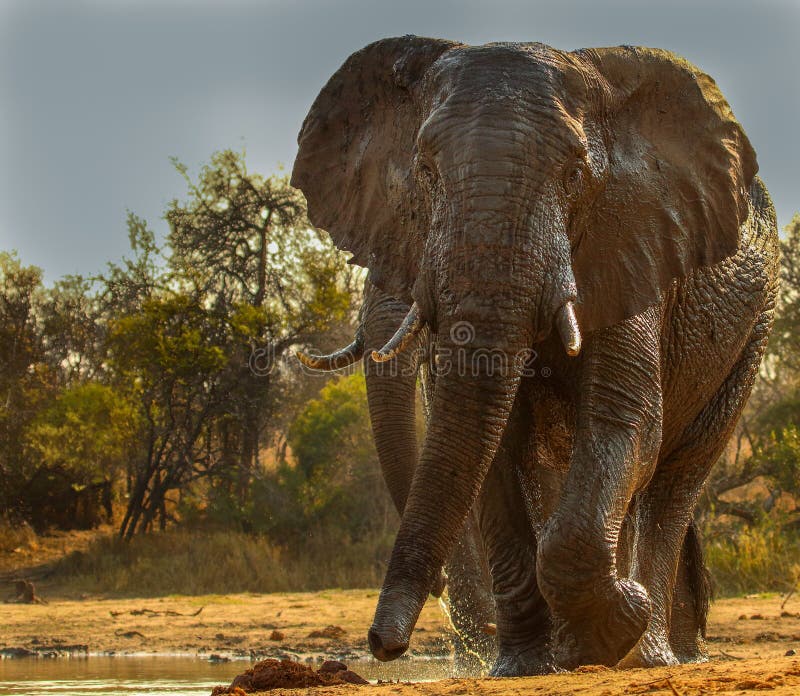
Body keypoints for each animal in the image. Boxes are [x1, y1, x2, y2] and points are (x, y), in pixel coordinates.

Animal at [290, 36, 780, 673]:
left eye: (575, 175)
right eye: (425, 172)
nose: (383, 645)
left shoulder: (633, 241)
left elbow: (625, 421)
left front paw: (610, 632)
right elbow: (491, 454)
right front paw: (526, 665)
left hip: (754, 328)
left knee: (676, 478)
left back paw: (647, 652)